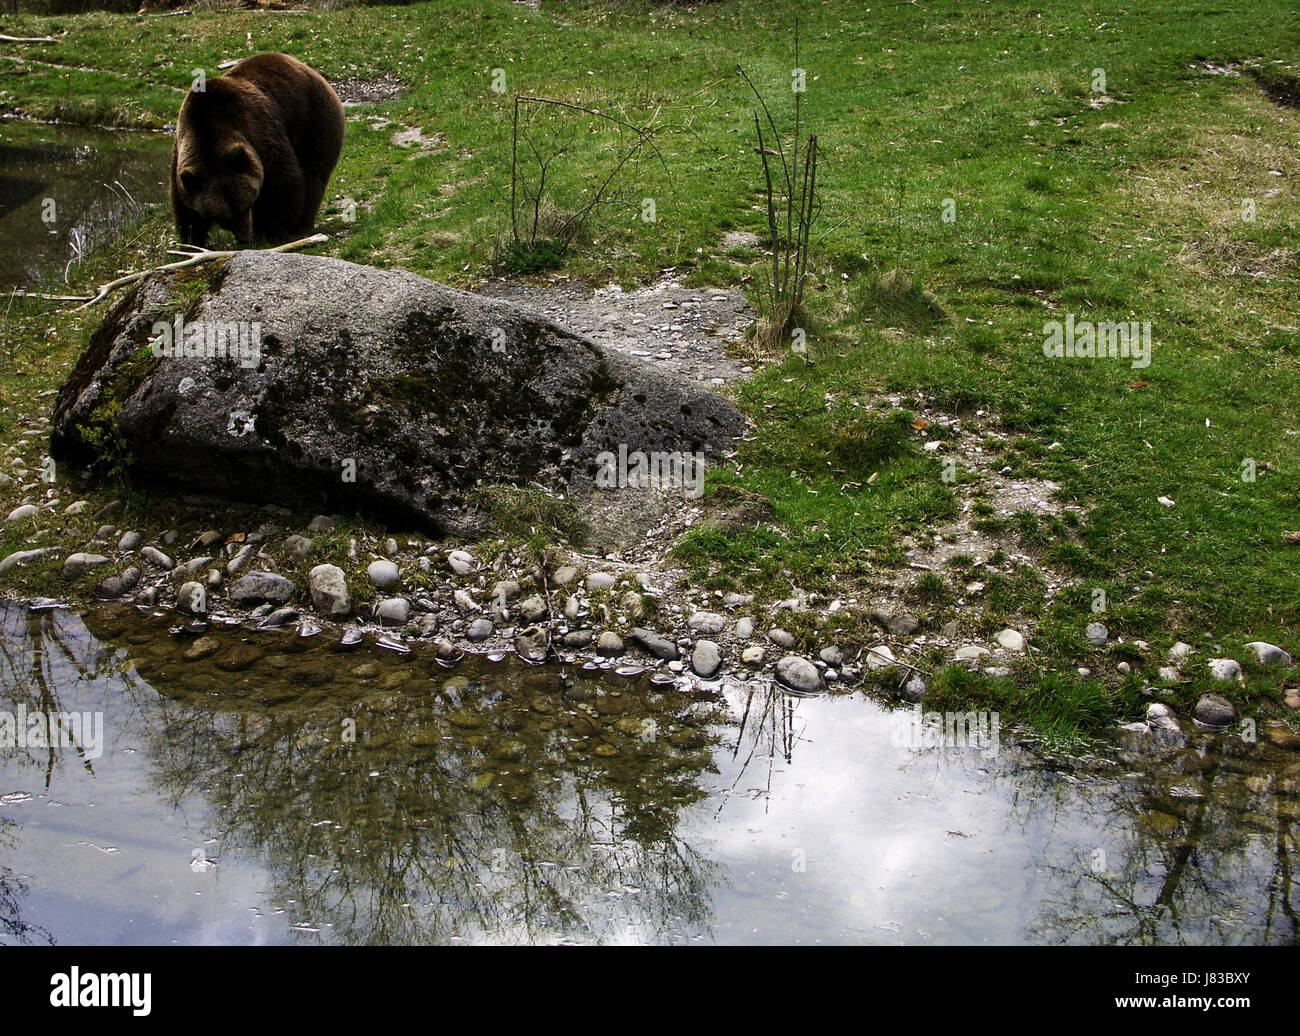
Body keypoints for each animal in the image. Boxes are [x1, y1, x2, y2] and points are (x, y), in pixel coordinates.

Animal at [170, 52, 345, 247]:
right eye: (224, 218)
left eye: (246, 205)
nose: (245, 237)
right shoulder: (182, 158)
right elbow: (186, 209)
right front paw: (192, 240)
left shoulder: (258, 133)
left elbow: (281, 183)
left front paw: (275, 230)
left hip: (315, 118)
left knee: (313, 174)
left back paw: (302, 224)